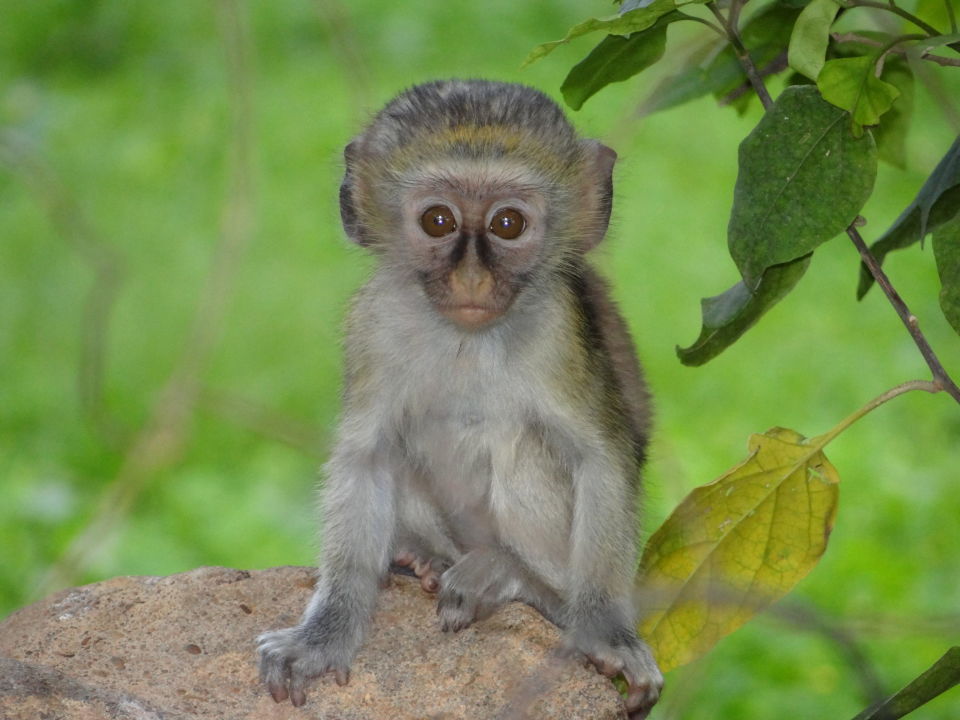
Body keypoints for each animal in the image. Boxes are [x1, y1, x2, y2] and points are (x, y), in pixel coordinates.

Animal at [257, 79, 663, 717]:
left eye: (507, 224)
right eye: (439, 220)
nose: (472, 279)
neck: (467, 341)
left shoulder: (559, 328)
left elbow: (602, 456)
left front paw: (605, 634)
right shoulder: (372, 323)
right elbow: (367, 457)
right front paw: (323, 635)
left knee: (524, 442)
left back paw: (517, 580)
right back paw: (424, 556)